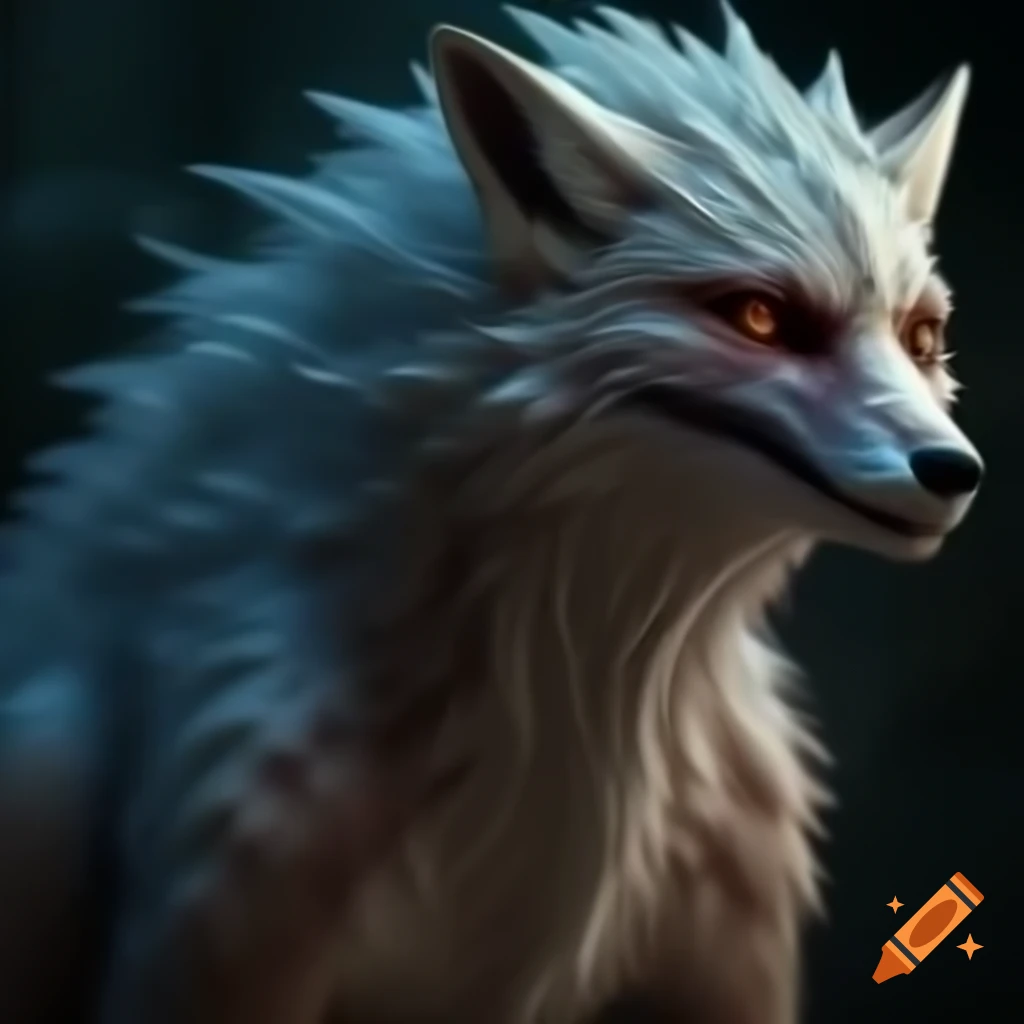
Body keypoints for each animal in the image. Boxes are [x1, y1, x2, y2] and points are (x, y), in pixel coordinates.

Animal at [0, 4, 982, 1024]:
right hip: (37, 780)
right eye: (759, 317)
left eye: (922, 336)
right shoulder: (228, 924)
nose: (954, 471)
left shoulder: (728, 940)